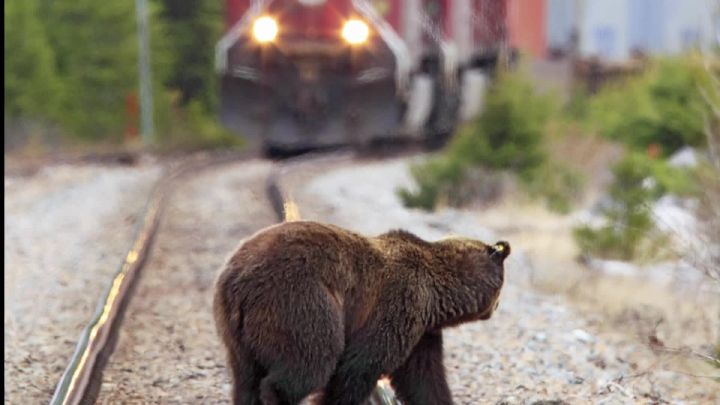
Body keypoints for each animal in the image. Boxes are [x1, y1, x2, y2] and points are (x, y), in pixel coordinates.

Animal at [213, 220, 510, 405]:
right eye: (502, 287)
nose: (497, 307)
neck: (436, 297)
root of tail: (237, 279)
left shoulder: (422, 334)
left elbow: (423, 378)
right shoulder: (397, 304)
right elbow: (358, 367)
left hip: (235, 331)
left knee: (245, 379)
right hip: (298, 301)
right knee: (310, 362)